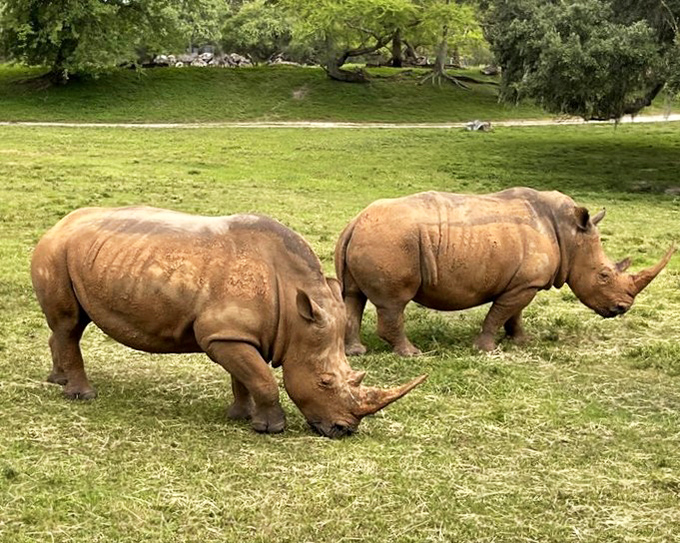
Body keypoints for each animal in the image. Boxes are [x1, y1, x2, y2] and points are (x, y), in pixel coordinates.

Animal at [31, 207, 426, 438]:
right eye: (326, 382)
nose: (345, 430)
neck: (296, 309)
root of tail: (56, 225)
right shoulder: (224, 335)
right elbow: (262, 378)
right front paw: (271, 429)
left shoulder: (237, 334)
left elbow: (245, 377)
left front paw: (241, 416)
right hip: (55, 252)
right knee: (69, 324)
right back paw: (82, 395)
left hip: (77, 255)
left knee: (70, 326)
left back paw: (57, 380)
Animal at [335, 188, 675, 355]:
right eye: (604, 275)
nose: (622, 308)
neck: (570, 235)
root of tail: (354, 221)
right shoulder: (524, 284)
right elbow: (498, 314)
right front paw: (485, 348)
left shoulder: (524, 282)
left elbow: (514, 314)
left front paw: (522, 341)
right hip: (392, 241)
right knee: (394, 303)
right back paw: (411, 354)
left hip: (373, 236)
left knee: (353, 296)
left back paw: (356, 352)